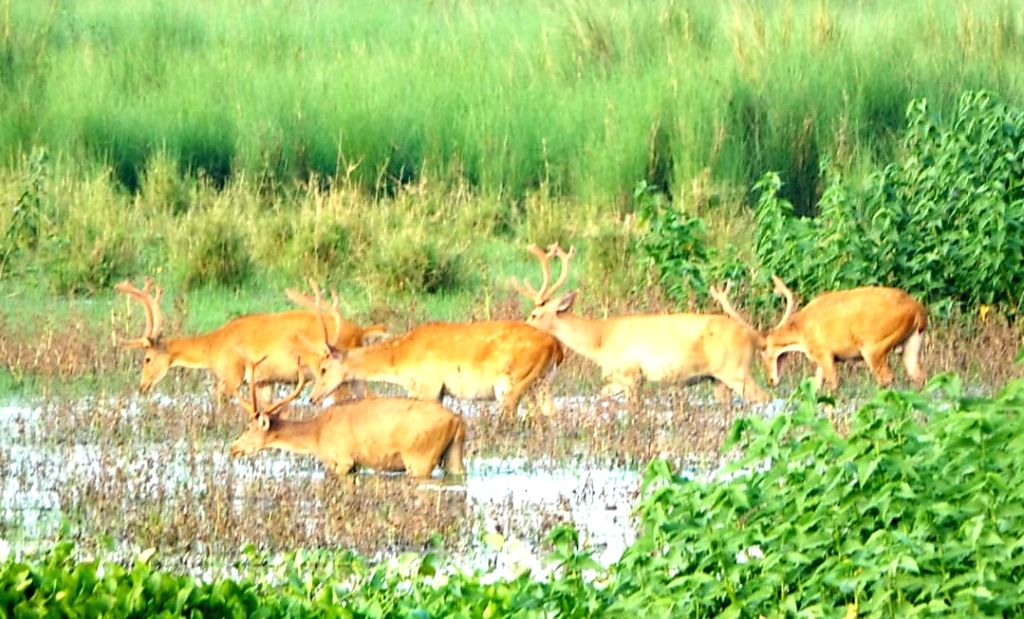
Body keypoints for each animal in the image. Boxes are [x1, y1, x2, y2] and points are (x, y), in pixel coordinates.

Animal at [114, 278, 386, 402]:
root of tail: (361, 332)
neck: (214, 345)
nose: (142, 386)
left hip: (337, 377)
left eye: (147, 359)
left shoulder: (231, 376)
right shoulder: (265, 380)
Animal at [230, 360, 466, 478]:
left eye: (249, 427)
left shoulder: (342, 459)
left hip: (420, 457)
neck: (317, 435)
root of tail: (457, 420)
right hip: (453, 453)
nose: (233, 448)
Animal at [306, 316, 564, 420]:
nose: (312, 398)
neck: (401, 357)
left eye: (323, 368)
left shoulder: (427, 387)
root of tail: (556, 345)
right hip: (544, 383)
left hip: (512, 384)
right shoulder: (437, 392)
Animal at [511, 243, 769, 408]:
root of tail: (754, 336)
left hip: (735, 370)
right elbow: (602, 395)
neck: (600, 340)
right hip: (718, 380)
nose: (522, 326)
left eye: (534, 314)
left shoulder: (632, 373)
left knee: (763, 397)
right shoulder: (617, 379)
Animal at [751, 276, 928, 390]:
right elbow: (815, 386)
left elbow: (834, 385)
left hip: (873, 347)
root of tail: (918, 311)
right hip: (913, 344)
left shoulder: (824, 354)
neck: (801, 331)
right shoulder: (822, 361)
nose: (771, 381)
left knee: (887, 378)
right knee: (919, 377)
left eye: (763, 353)